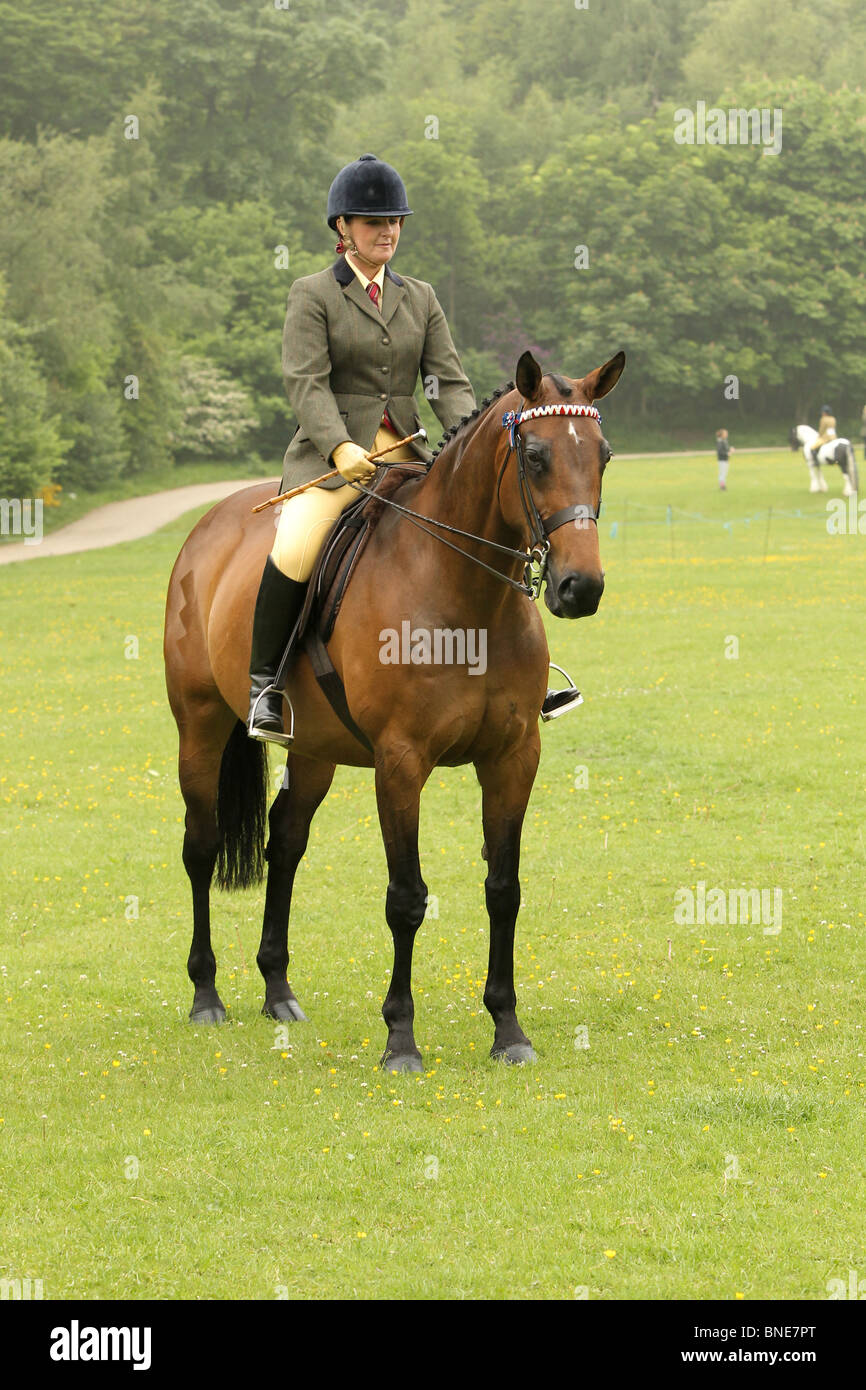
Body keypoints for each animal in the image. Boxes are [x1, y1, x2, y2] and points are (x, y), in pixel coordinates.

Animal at [163, 348, 625, 1069]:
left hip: (314, 749)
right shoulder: (401, 762)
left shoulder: (513, 758)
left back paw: (278, 991)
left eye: (602, 455)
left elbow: (504, 890)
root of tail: (210, 525)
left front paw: (508, 1030)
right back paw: (206, 995)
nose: (582, 588)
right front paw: (400, 1038)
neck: (463, 593)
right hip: (201, 725)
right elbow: (406, 898)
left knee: (284, 842)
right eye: (535, 457)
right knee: (202, 846)